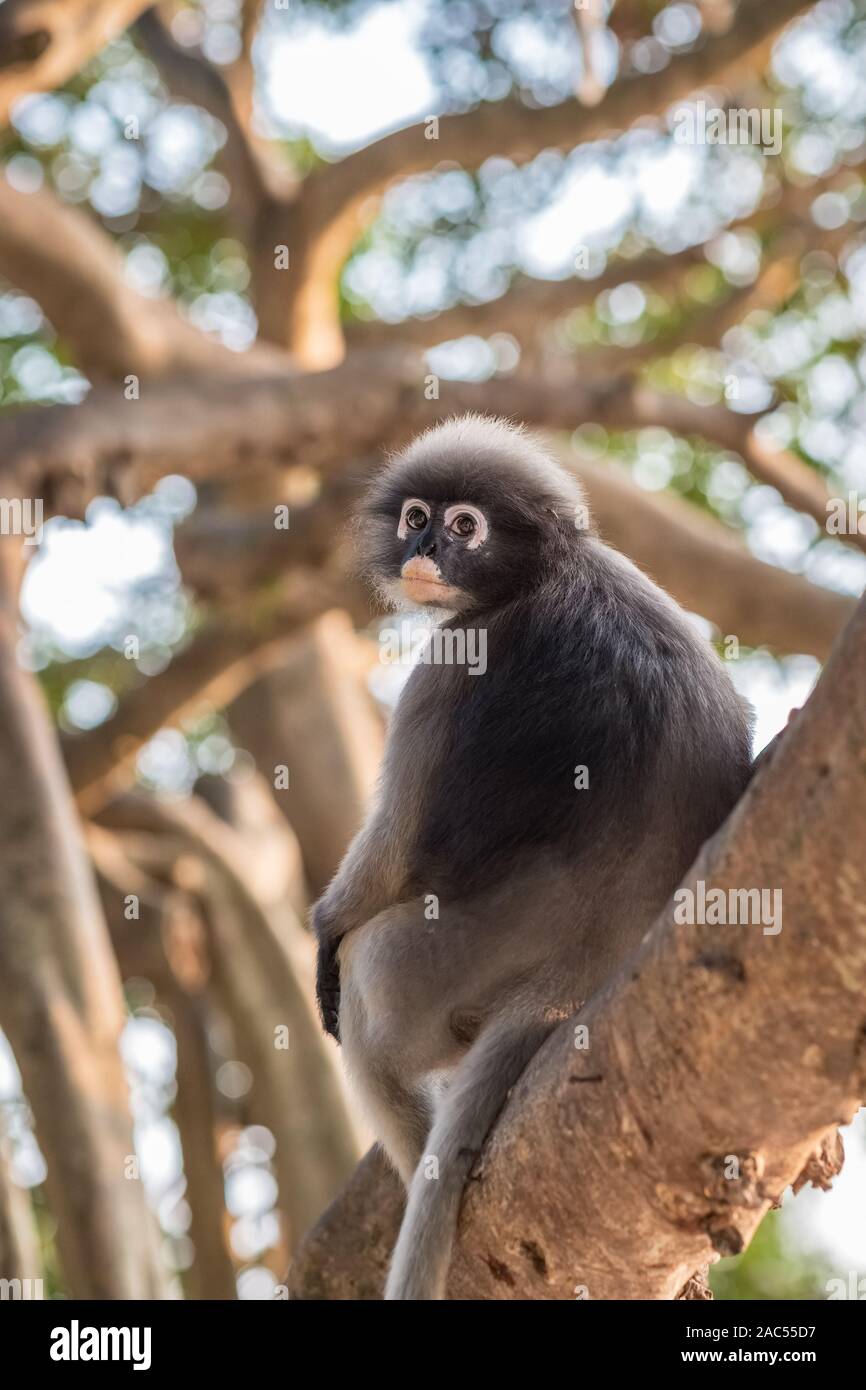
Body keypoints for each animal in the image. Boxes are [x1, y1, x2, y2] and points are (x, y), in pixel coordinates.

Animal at [312, 414, 753, 1301]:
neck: (547, 572)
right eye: (417, 517)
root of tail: (588, 968)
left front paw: (323, 926)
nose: (426, 550)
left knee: (366, 984)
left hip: (444, 960)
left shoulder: (454, 659)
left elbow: (392, 853)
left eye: (464, 527)